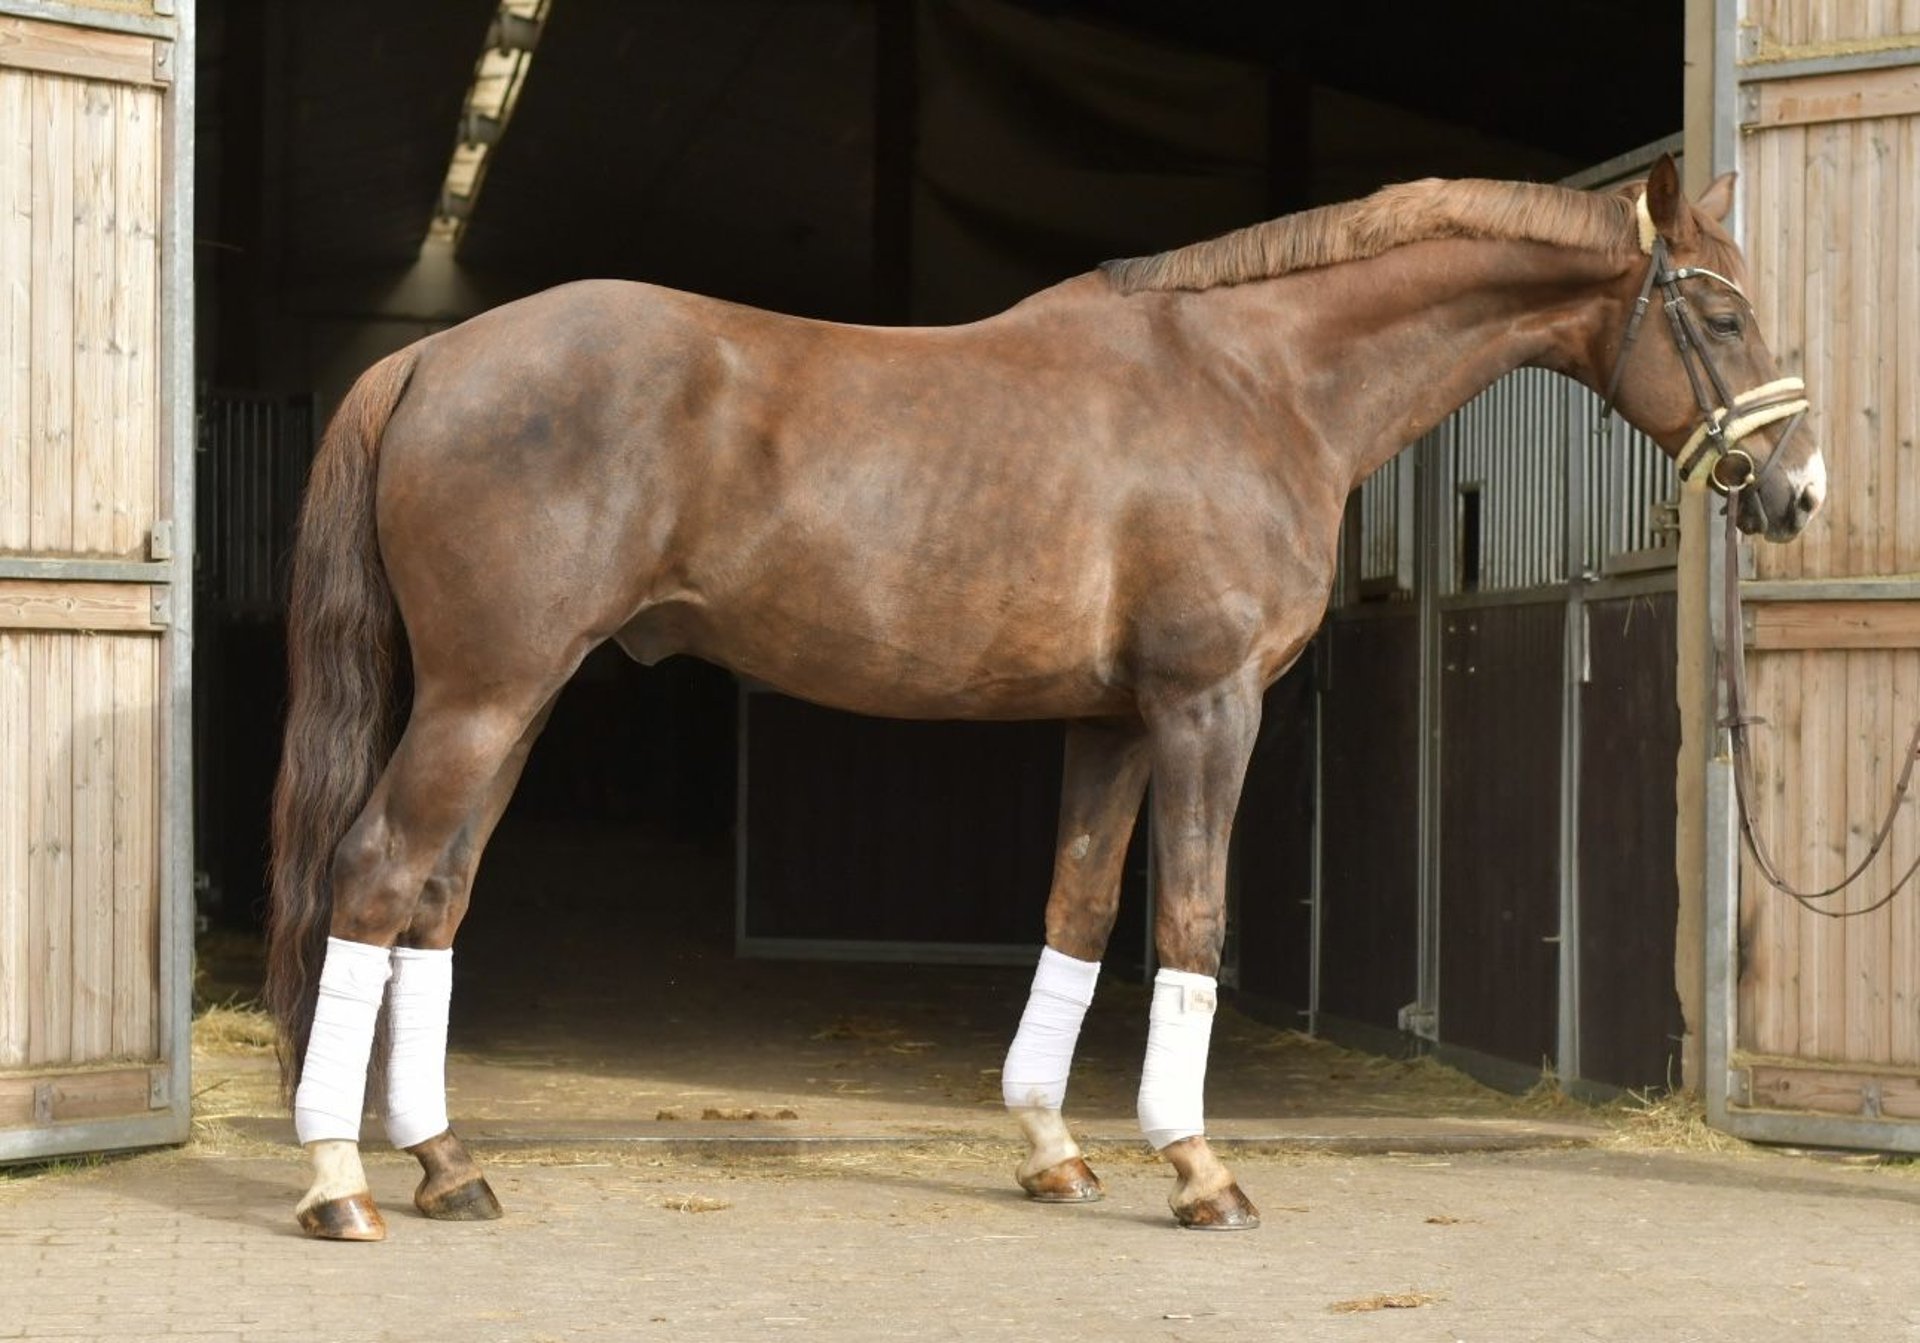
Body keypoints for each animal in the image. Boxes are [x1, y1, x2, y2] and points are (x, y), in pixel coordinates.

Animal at [263, 153, 1822, 1240]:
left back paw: (446, 1164)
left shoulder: (1113, 722)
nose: (1799, 491)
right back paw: (340, 1181)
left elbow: (1077, 915)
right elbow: (1188, 924)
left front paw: (1053, 1150)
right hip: (483, 695)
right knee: (378, 870)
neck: (1256, 381)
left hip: (512, 703)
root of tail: (433, 354)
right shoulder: (1207, 709)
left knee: (435, 898)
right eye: (1723, 309)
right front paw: (1199, 1168)